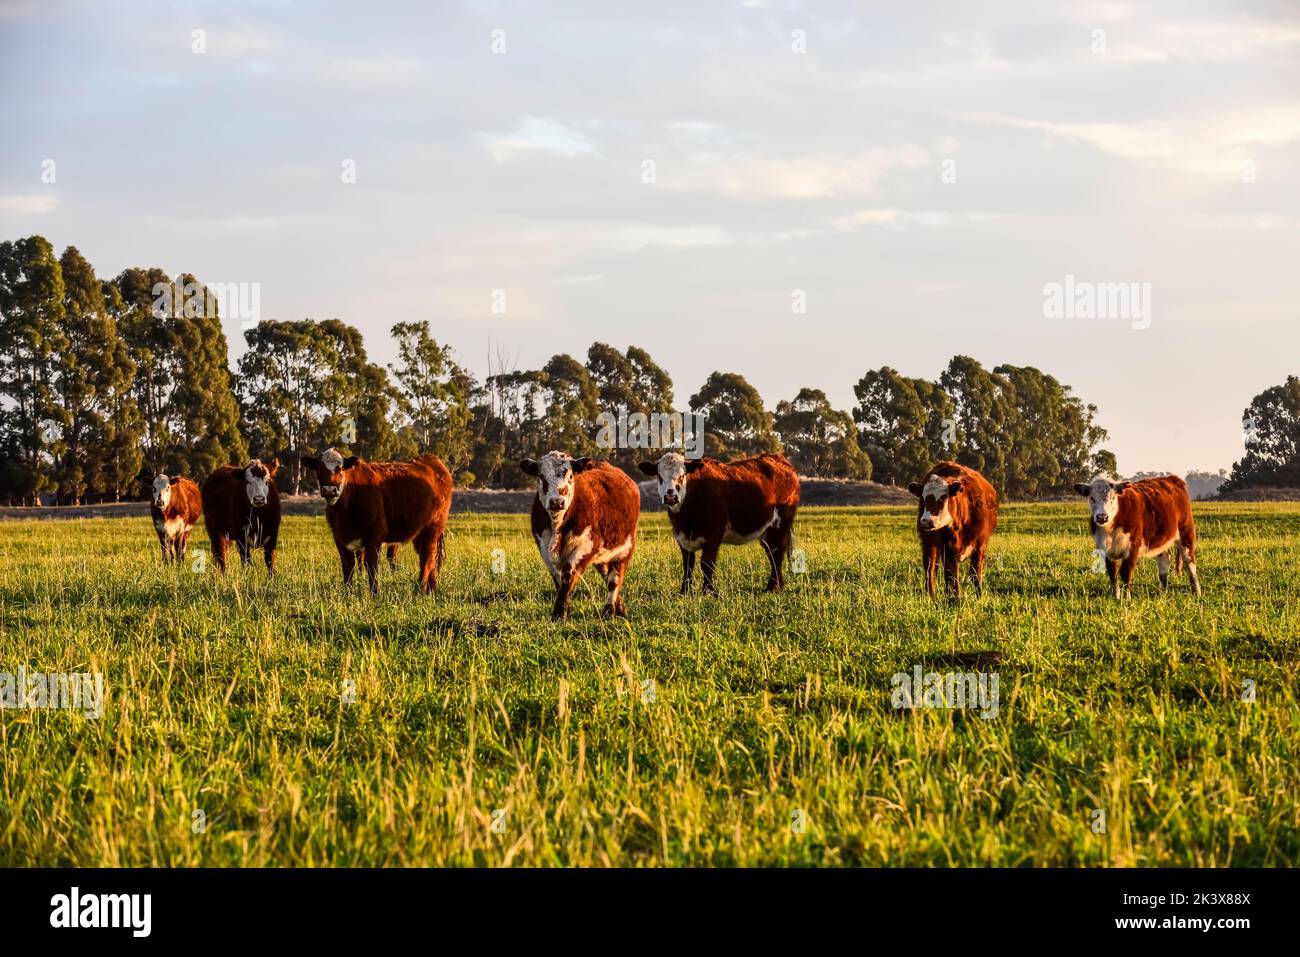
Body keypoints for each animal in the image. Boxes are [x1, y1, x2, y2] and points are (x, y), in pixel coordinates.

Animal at [300, 448, 453, 595]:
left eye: (340, 468)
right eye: (319, 468)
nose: (329, 490)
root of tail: (432, 461)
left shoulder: (374, 535)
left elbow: (371, 565)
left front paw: (375, 594)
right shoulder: (339, 538)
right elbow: (348, 566)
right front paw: (347, 593)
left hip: (433, 526)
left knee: (428, 557)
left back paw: (420, 588)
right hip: (419, 531)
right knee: (429, 557)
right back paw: (430, 589)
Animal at [521, 451, 639, 620]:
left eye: (570, 476)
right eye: (541, 476)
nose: (557, 501)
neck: (557, 527)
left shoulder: (586, 546)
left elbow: (568, 576)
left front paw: (559, 613)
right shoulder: (543, 547)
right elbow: (558, 579)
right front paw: (566, 610)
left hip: (625, 548)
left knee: (614, 579)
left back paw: (609, 610)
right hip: (602, 555)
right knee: (606, 574)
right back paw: (620, 608)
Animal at [638, 451, 800, 596]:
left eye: (682, 476)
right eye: (660, 476)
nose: (670, 496)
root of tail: (779, 459)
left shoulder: (714, 534)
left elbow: (707, 563)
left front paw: (708, 592)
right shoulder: (682, 537)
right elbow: (688, 565)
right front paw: (684, 592)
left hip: (780, 524)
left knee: (777, 553)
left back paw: (774, 587)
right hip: (767, 531)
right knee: (771, 553)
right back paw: (775, 585)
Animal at [907, 461, 998, 599]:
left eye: (943, 498)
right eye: (923, 498)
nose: (925, 521)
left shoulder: (981, 544)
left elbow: (975, 574)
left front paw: (979, 596)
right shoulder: (946, 547)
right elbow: (951, 575)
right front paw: (954, 598)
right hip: (928, 543)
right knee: (930, 568)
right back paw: (930, 595)